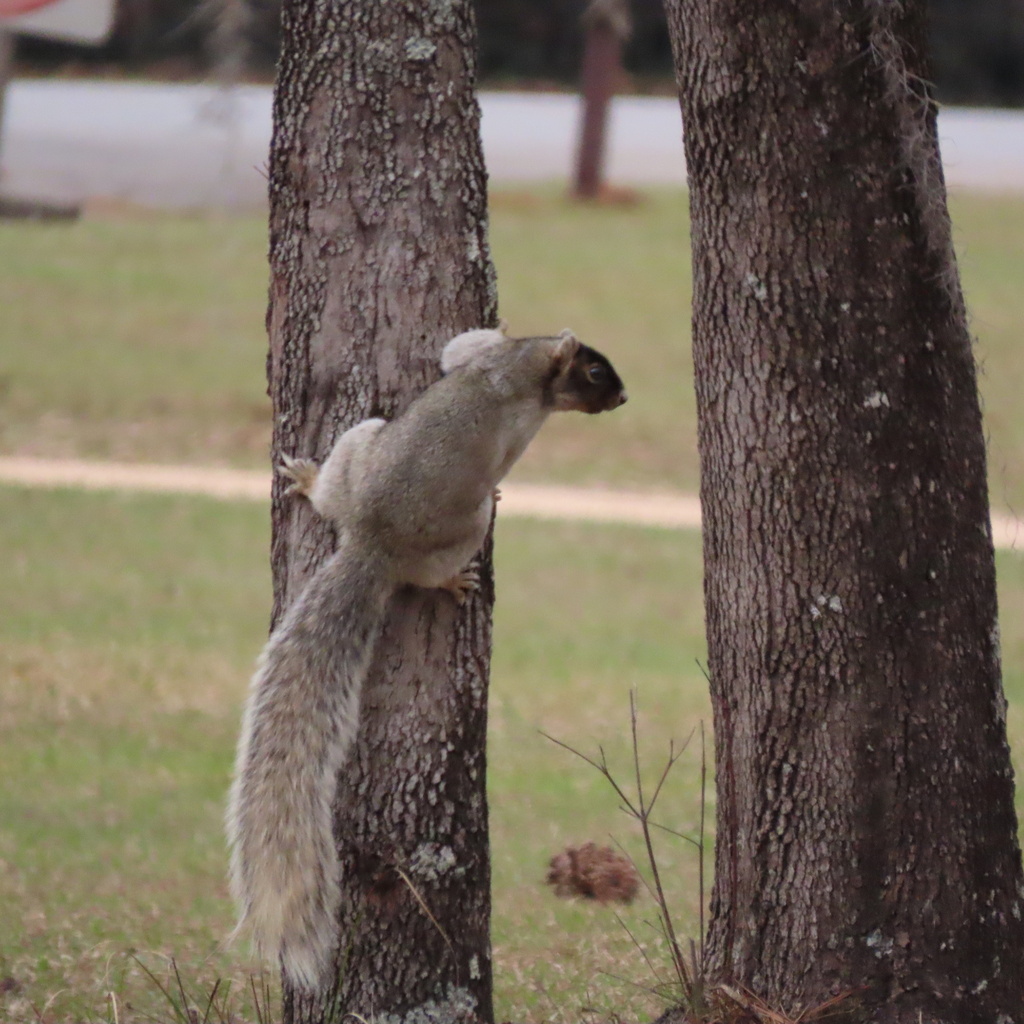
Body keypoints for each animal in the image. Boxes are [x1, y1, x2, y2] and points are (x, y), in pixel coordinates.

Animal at [226, 324, 626, 993]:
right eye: (595, 374)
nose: (622, 398)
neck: (525, 366)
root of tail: (373, 543)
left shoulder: (480, 353)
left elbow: (455, 349)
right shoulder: (519, 419)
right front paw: (503, 479)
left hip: (359, 447)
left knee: (334, 495)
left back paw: (309, 482)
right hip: (462, 522)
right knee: (441, 559)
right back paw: (450, 578)